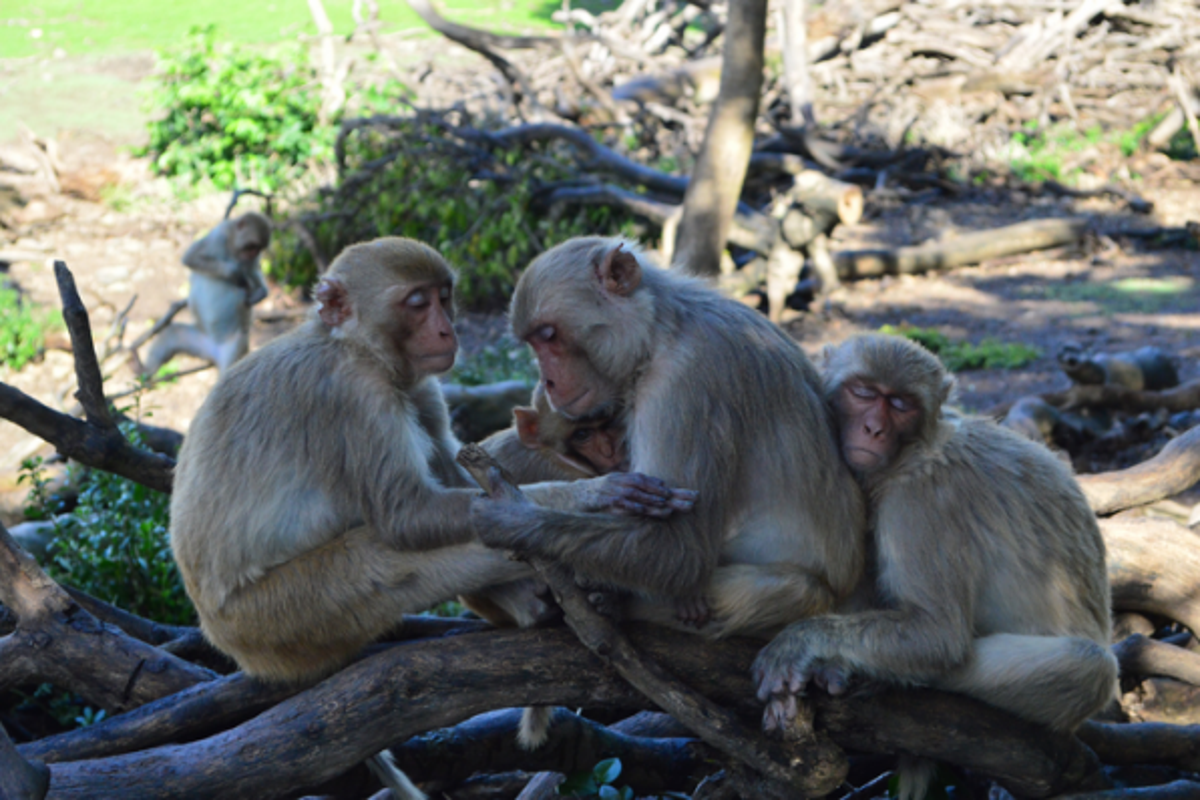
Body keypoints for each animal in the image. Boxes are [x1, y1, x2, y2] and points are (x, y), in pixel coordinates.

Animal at [142, 211, 272, 376]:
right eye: (252, 246)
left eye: (259, 249)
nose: (253, 254)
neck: (233, 247)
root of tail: (214, 350)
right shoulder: (218, 237)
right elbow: (191, 258)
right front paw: (233, 272)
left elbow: (253, 272)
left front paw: (260, 292)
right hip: (199, 340)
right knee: (173, 333)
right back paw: (146, 373)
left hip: (233, 345)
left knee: (238, 344)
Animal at [753, 334, 1117, 799]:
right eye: (864, 393)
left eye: (901, 404)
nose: (874, 429)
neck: (908, 454)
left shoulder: (921, 502)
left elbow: (939, 634)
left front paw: (803, 642)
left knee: (1091, 667)